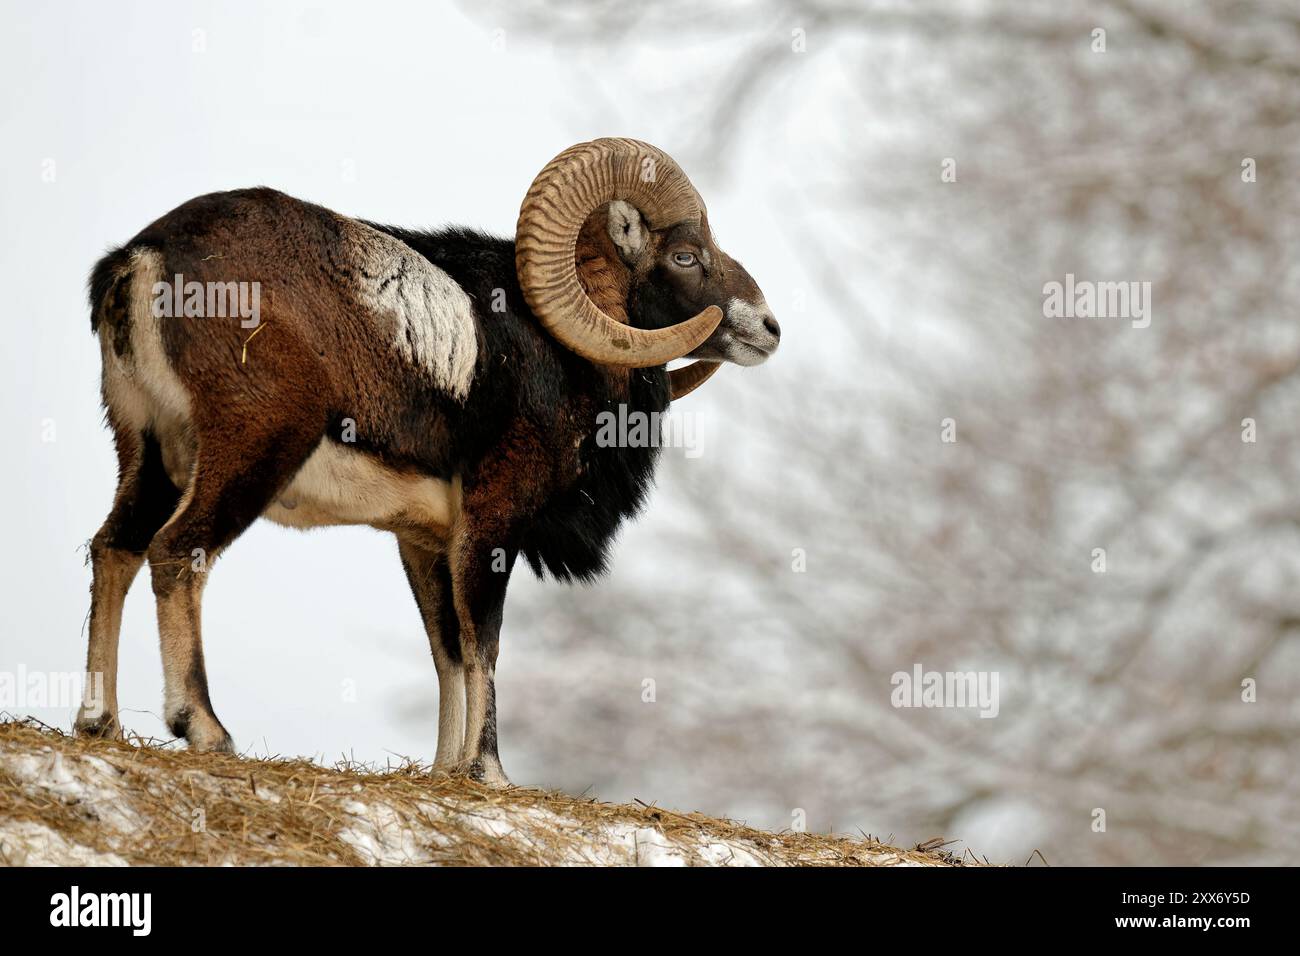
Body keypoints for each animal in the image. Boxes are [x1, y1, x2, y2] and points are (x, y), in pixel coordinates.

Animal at [74, 138, 780, 784]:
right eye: (685, 255)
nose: (770, 329)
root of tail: (141, 260)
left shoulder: (424, 541)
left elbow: (449, 650)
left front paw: (445, 770)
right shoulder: (491, 524)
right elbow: (484, 639)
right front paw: (488, 772)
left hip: (151, 456)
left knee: (115, 548)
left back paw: (98, 723)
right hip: (249, 451)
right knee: (176, 551)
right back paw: (206, 730)